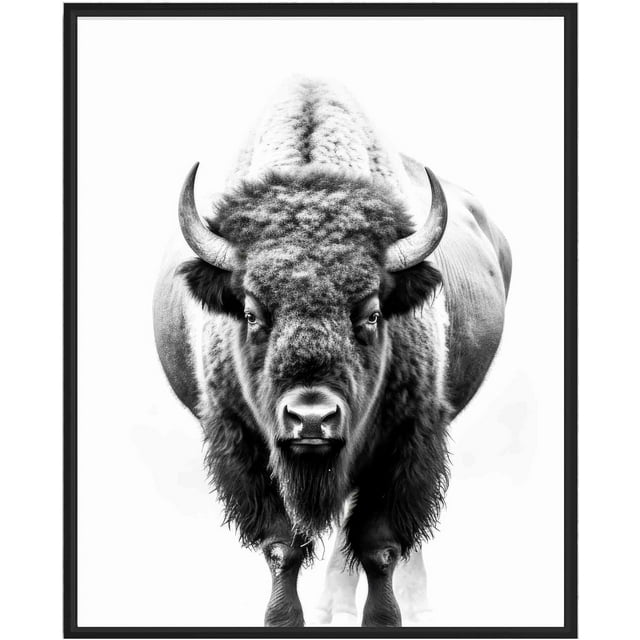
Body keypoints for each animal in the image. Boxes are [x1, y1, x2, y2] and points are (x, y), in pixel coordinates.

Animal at [153, 79, 511, 626]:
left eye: (372, 313)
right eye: (251, 313)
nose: (312, 419)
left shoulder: (409, 440)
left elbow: (380, 545)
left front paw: (385, 619)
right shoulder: (244, 446)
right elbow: (284, 545)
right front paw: (286, 620)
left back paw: (412, 603)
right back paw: (331, 607)